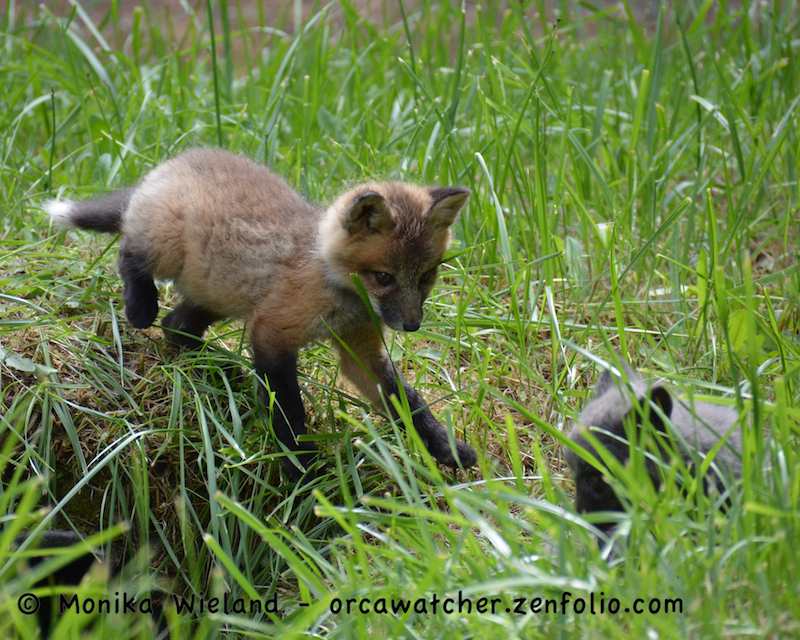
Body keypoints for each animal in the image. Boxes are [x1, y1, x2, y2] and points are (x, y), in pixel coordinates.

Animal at [44, 148, 477, 480]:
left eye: (426, 276)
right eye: (384, 277)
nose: (412, 324)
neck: (335, 287)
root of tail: (172, 163)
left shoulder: (361, 352)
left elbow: (409, 403)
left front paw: (447, 448)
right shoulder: (273, 332)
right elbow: (289, 409)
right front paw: (301, 468)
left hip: (218, 296)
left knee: (176, 328)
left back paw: (224, 368)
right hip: (168, 250)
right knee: (130, 253)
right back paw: (141, 307)